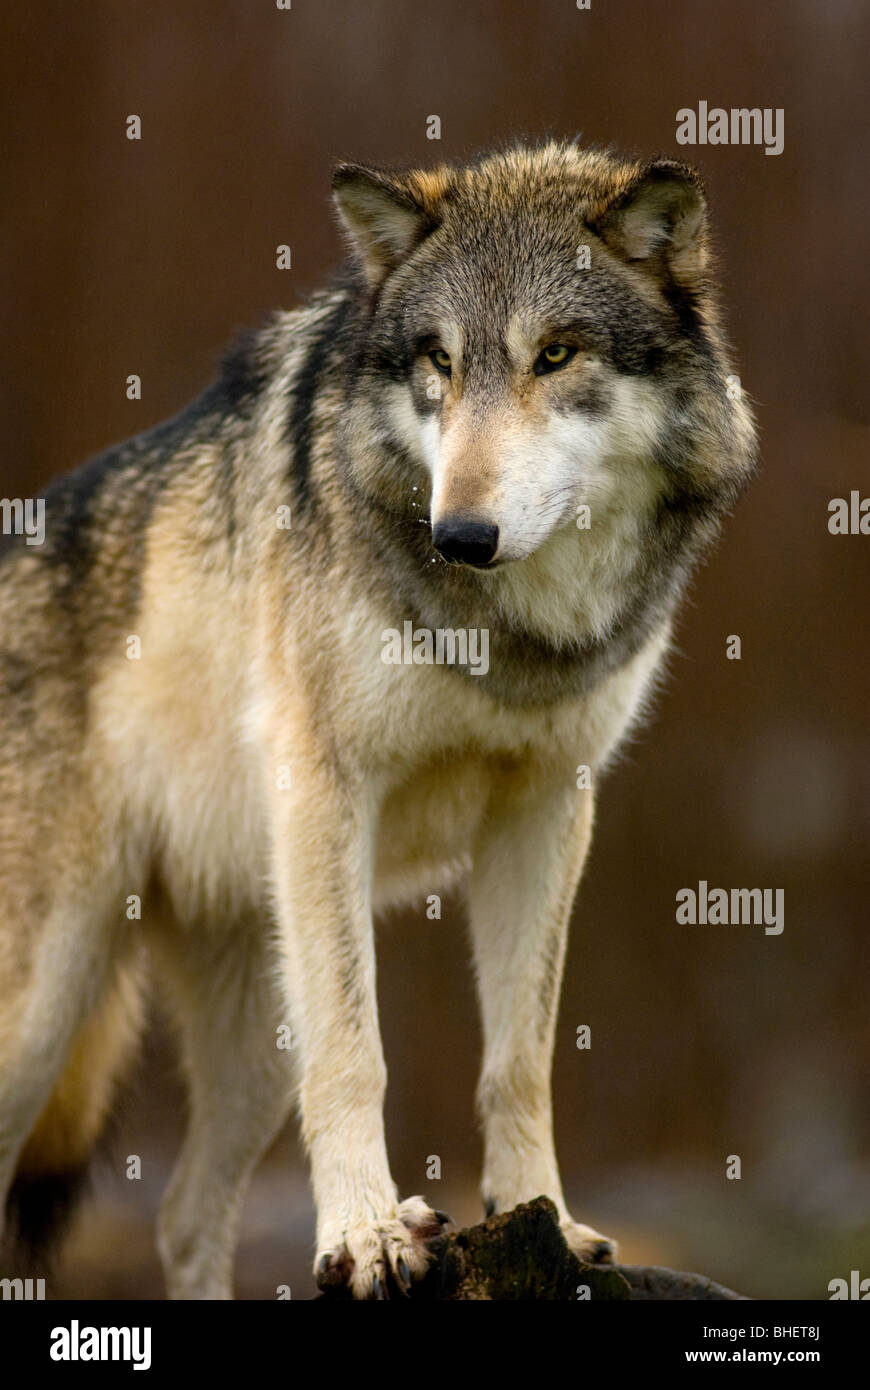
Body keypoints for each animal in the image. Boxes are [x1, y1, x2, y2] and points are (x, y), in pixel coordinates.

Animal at [0, 141, 756, 1298]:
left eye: (557, 354)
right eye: (436, 362)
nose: (462, 534)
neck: (509, 634)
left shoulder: (546, 812)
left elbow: (521, 1059)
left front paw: (547, 1215)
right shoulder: (328, 789)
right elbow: (361, 1052)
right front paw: (364, 1234)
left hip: (257, 1022)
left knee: (183, 1211)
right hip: (52, 1004)